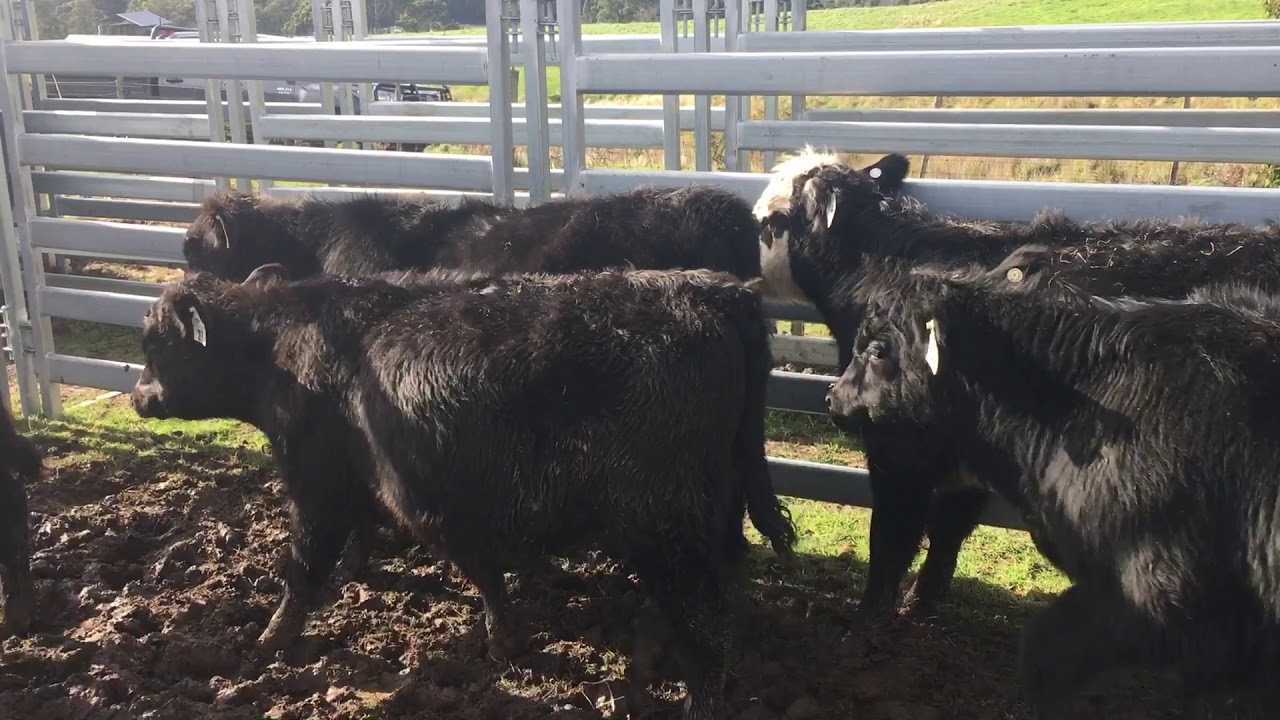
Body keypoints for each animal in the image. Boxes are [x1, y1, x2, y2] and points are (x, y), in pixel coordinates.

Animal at [130, 264, 797, 720]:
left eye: (156, 344)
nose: (137, 397)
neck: (285, 344)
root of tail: (708, 288)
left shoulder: (319, 486)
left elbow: (303, 567)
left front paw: (270, 640)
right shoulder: (421, 494)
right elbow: (459, 563)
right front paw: (500, 637)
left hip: (664, 517)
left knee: (704, 616)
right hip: (705, 511)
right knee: (712, 588)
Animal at [755, 145, 1280, 620]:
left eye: (771, 222)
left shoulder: (899, 449)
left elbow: (891, 536)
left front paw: (870, 612)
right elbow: (947, 529)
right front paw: (922, 598)